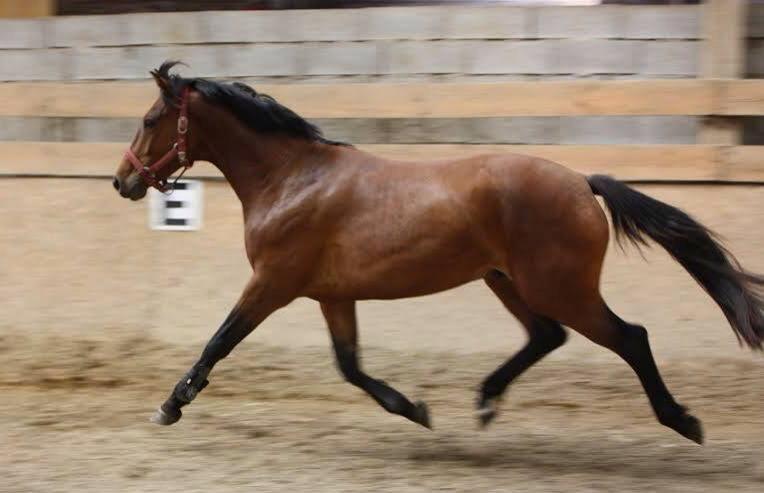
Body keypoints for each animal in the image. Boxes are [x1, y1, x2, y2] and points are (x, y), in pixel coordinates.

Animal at [112, 62, 764, 444]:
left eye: (150, 117)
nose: (123, 181)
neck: (292, 178)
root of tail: (582, 182)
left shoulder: (273, 283)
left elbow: (219, 340)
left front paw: (170, 406)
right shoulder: (331, 294)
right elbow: (349, 365)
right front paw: (415, 409)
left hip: (559, 286)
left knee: (630, 338)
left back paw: (683, 421)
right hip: (508, 280)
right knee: (546, 336)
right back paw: (485, 401)